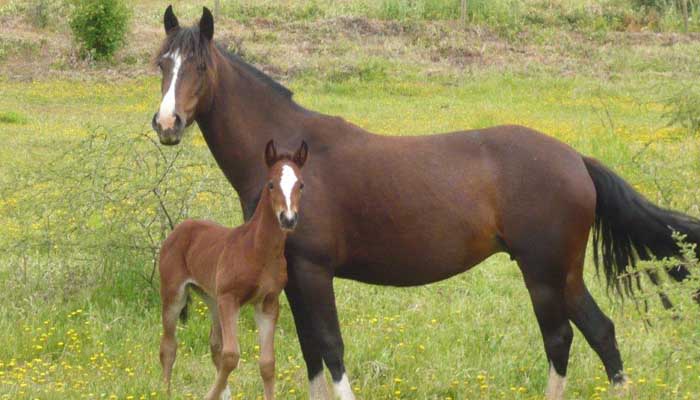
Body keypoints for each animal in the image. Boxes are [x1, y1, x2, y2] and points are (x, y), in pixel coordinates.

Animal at [158, 139, 308, 400]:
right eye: (271, 184)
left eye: (300, 184)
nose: (288, 219)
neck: (258, 250)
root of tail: (180, 229)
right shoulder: (230, 298)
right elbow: (231, 356)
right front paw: (209, 395)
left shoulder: (268, 303)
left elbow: (267, 363)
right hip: (174, 294)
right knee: (169, 346)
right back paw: (165, 392)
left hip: (212, 299)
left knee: (214, 344)